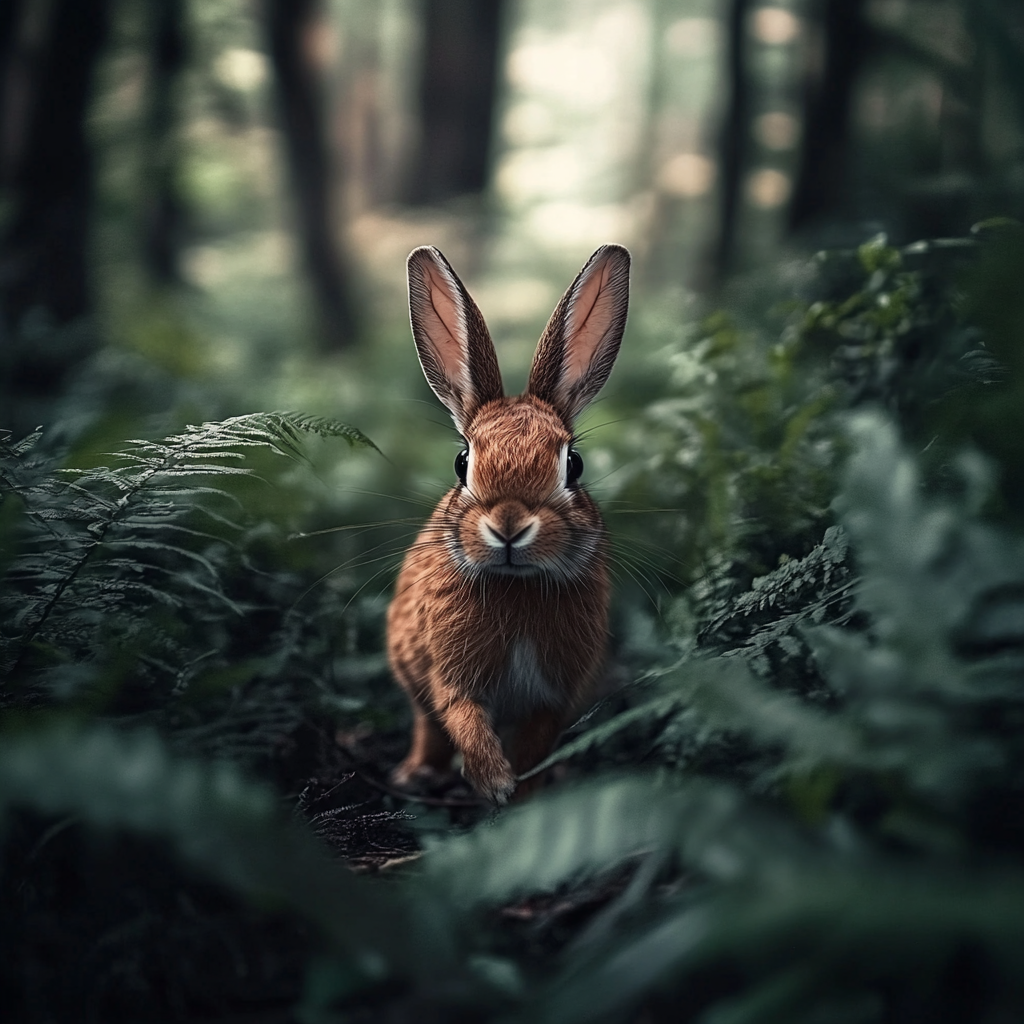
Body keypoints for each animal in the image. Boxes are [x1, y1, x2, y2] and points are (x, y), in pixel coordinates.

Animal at [386, 243, 630, 804]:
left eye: (574, 464)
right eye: (462, 462)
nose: (510, 526)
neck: (517, 586)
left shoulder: (554, 697)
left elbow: (539, 739)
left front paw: (523, 791)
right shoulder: (450, 674)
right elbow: (460, 712)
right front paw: (495, 782)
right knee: (428, 726)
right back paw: (416, 777)